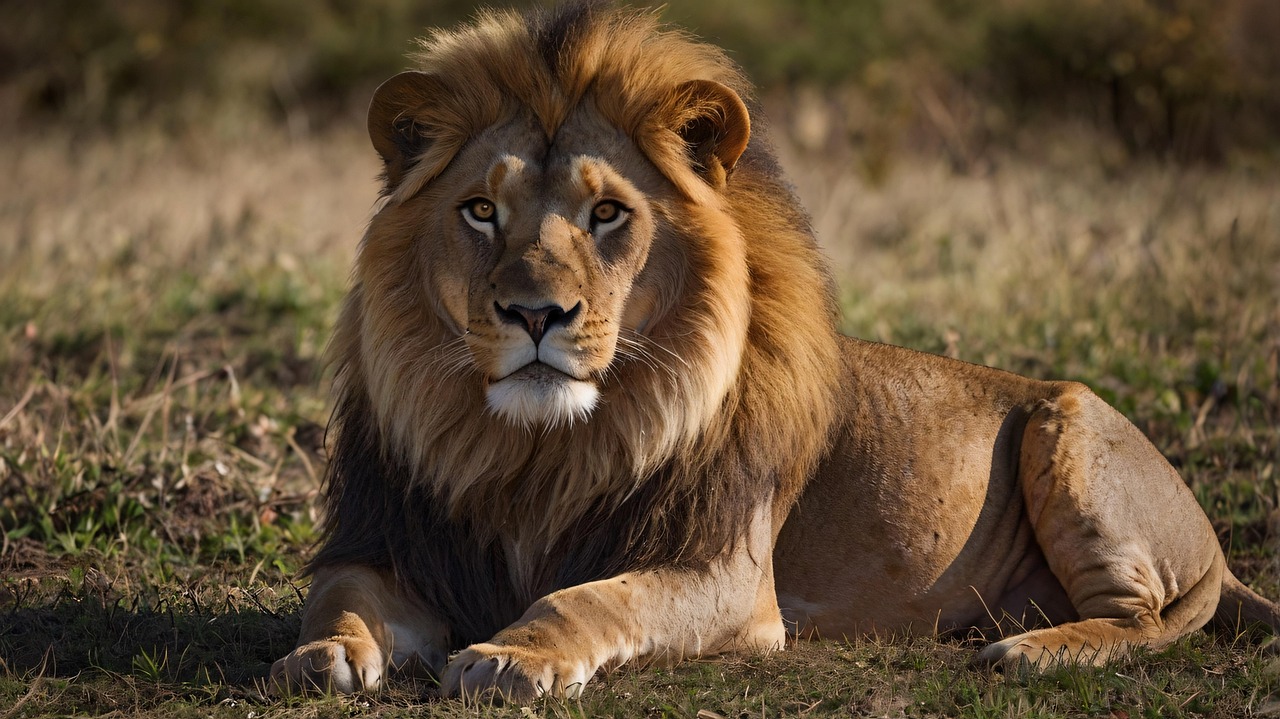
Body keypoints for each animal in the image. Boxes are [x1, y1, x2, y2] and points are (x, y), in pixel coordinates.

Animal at [271, 3, 1280, 700]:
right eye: (480, 209)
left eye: (608, 214)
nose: (534, 312)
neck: (534, 451)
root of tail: (1215, 546)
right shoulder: (387, 540)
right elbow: (336, 597)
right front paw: (319, 652)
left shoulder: (726, 571)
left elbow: (586, 597)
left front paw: (511, 654)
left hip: (1067, 422)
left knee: (1143, 616)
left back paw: (1033, 649)